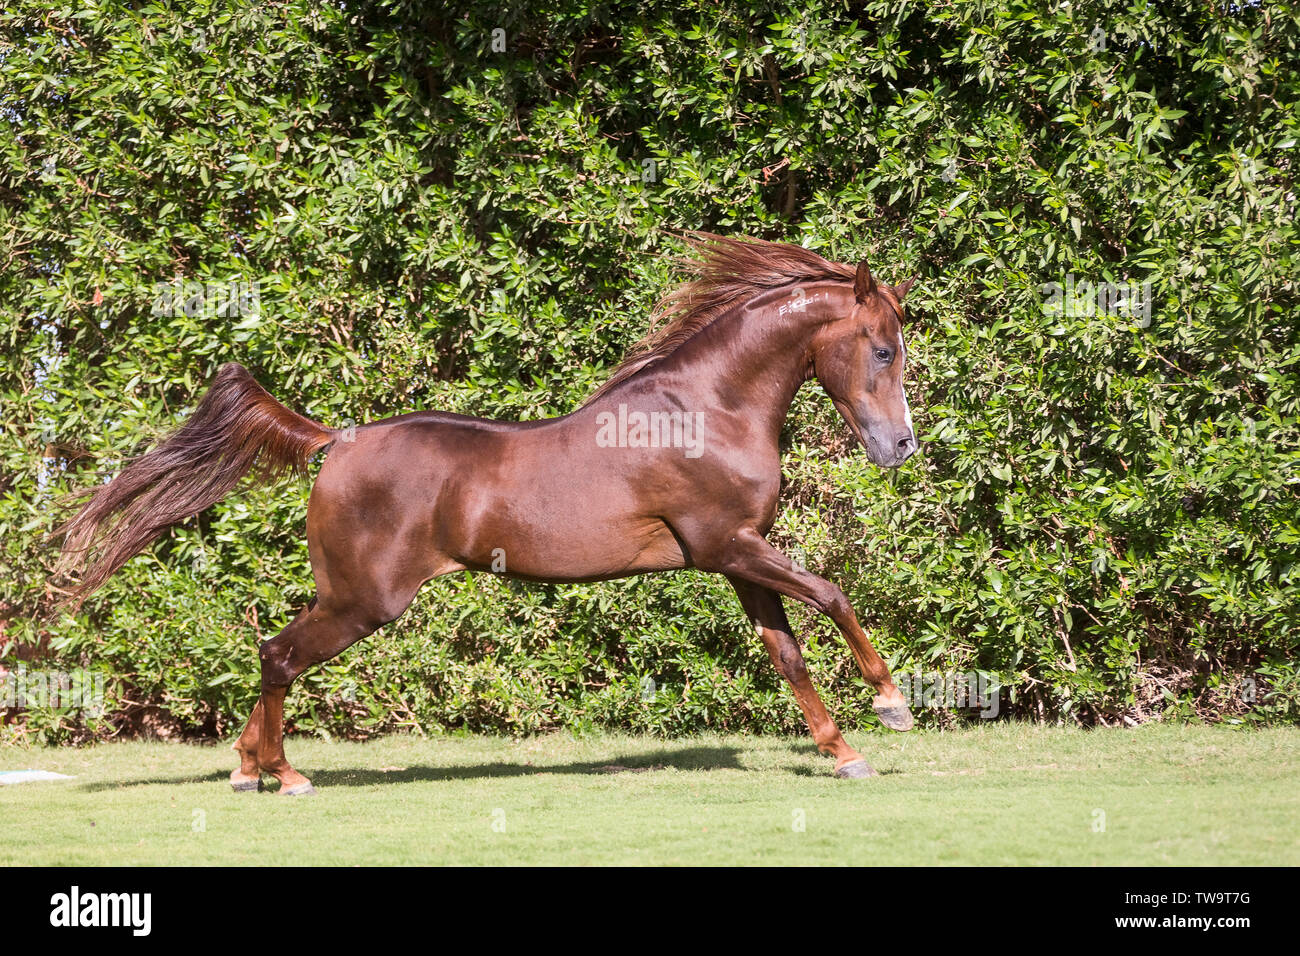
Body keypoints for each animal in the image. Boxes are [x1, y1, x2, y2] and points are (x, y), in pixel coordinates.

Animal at [53, 233, 920, 793]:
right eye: (883, 350)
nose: (901, 447)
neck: (706, 409)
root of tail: (336, 441)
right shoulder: (728, 544)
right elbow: (834, 595)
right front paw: (892, 704)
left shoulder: (737, 555)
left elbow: (788, 654)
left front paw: (844, 752)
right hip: (363, 601)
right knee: (277, 655)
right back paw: (285, 774)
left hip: (350, 599)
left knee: (273, 656)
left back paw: (243, 767)